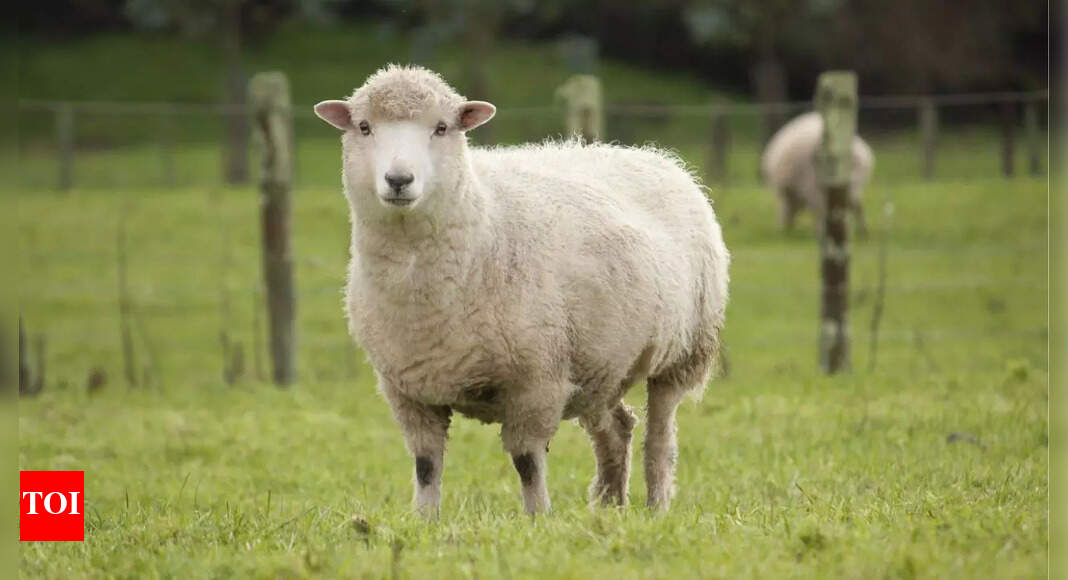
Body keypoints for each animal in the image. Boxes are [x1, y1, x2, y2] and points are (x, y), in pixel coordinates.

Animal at [314, 65, 730, 516]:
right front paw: (424, 520)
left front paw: (538, 518)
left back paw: (655, 507)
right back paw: (609, 507)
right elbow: (426, 464)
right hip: (599, 364)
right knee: (617, 428)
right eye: (364, 127)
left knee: (660, 438)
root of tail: (653, 156)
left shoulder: (537, 381)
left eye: (442, 128)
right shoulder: (407, 390)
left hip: (684, 352)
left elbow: (527, 462)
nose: (398, 180)